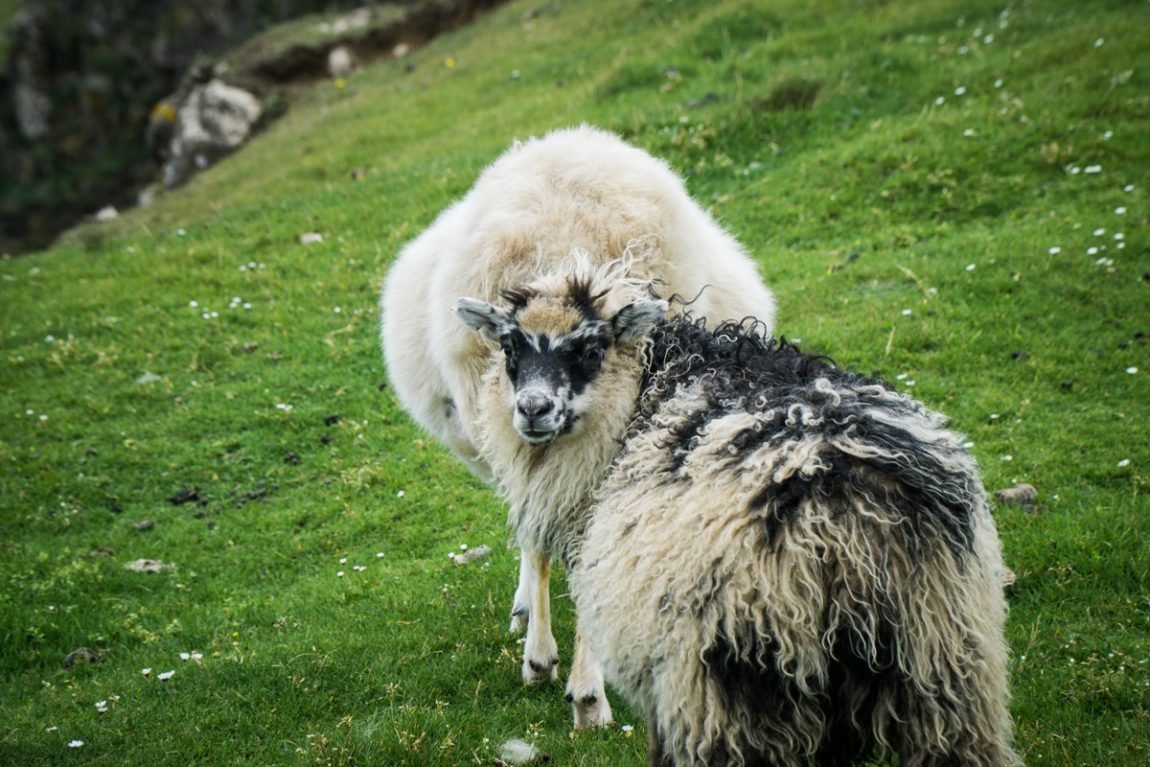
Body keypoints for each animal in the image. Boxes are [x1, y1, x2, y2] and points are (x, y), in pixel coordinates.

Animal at [380, 125, 776, 726]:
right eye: (508, 347)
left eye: (592, 349)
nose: (534, 409)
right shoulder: (526, 452)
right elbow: (540, 543)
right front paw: (540, 657)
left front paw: (588, 689)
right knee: (529, 532)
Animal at [454, 268, 1020, 766]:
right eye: (510, 349)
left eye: (590, 350)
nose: (533, 410)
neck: (650, 381)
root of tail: (844, 522)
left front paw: (584, 696)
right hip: (946, 669)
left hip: (723, 684)